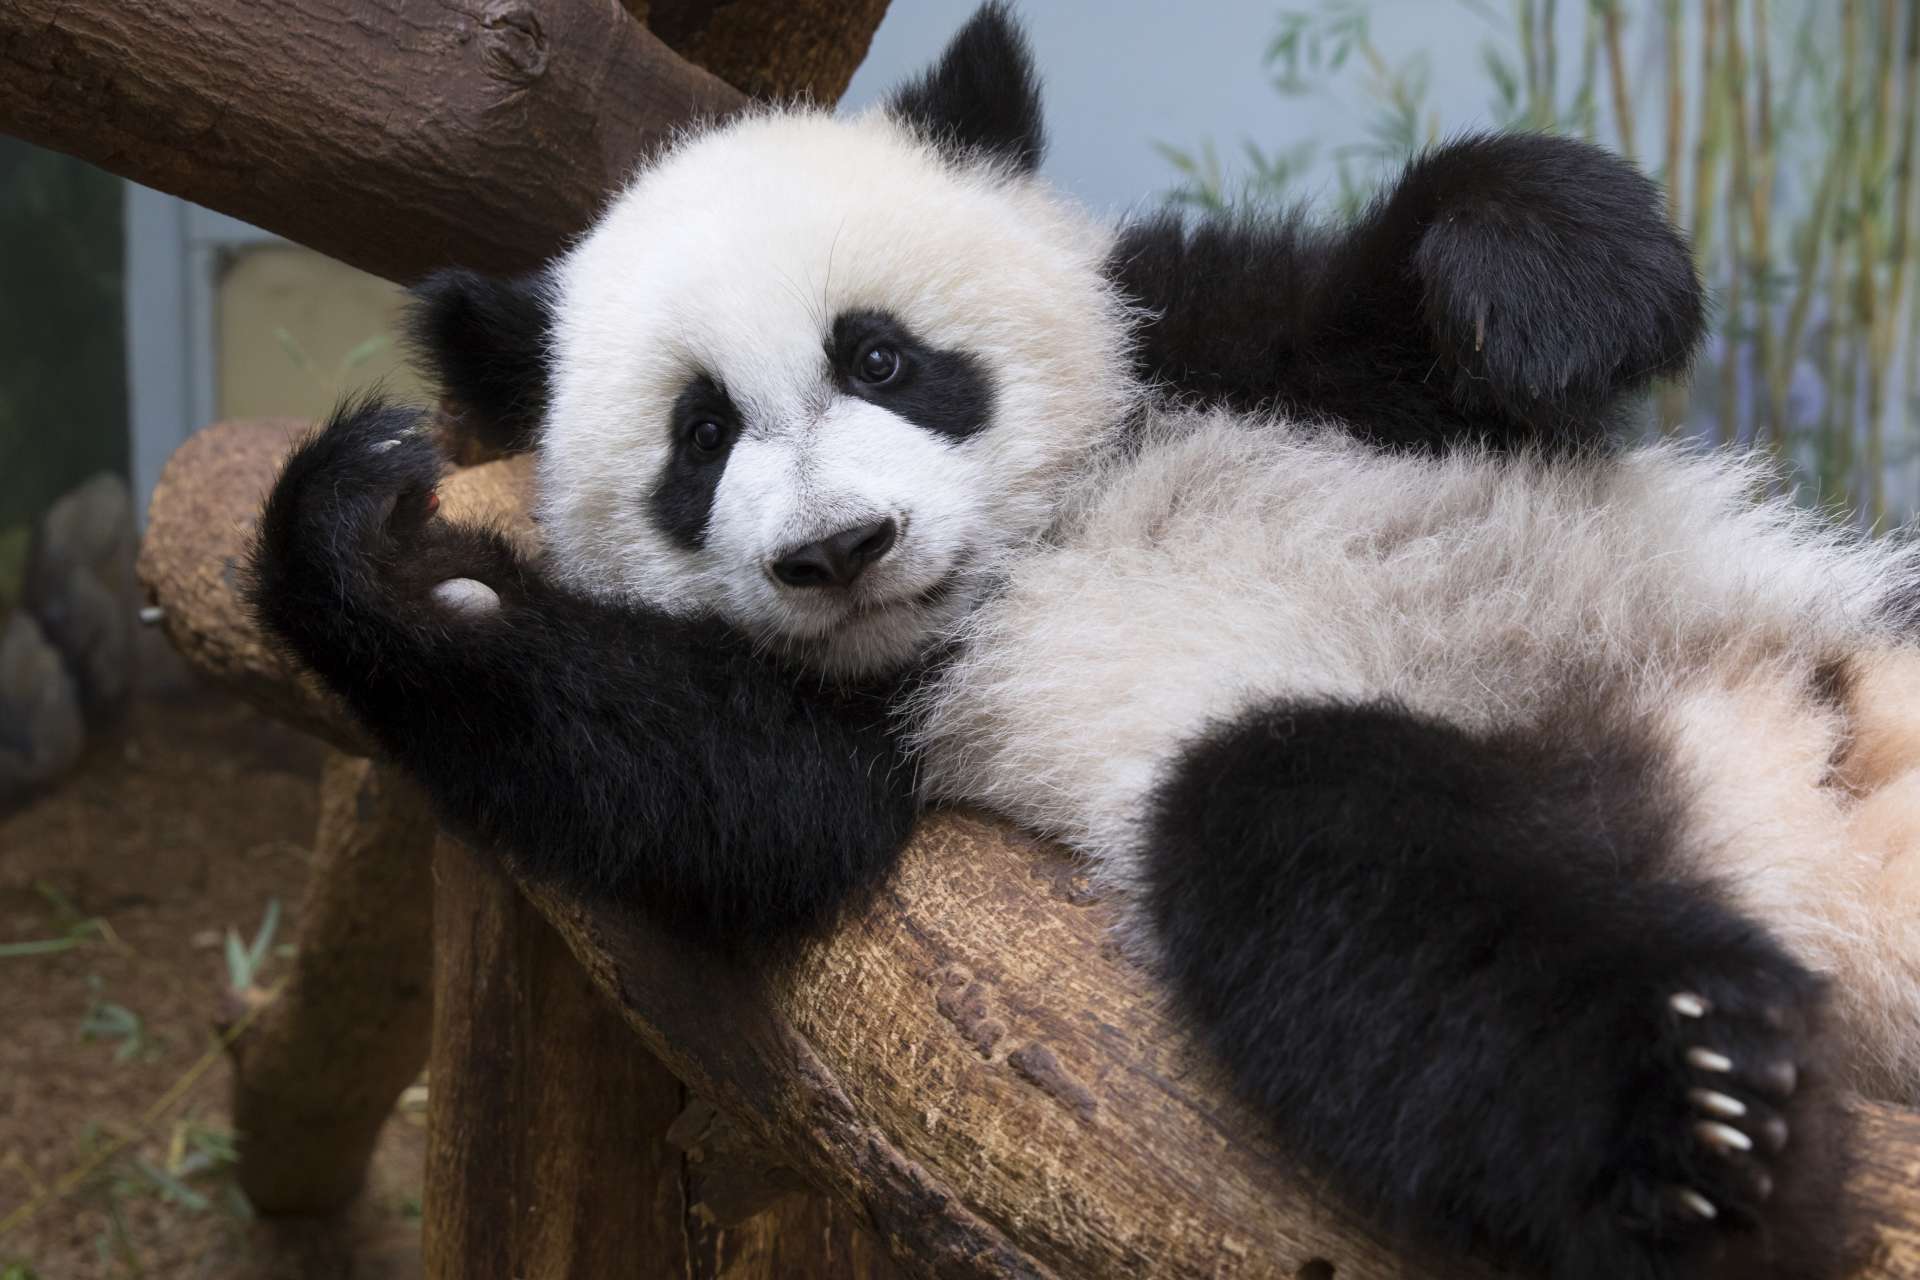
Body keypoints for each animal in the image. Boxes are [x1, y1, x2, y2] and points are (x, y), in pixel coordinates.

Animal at [248, 6, 1920, 1278]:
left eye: (882, 356)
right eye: (700, 438)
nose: (838, 551)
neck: (1016, 558)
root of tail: (1787, 837)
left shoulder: (1198, 341)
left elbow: (1379, 316)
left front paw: (1545, 288)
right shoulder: (869, 716)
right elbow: (747, 792)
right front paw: (377, 553)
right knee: (1343, 856)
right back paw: (1706, 1112)